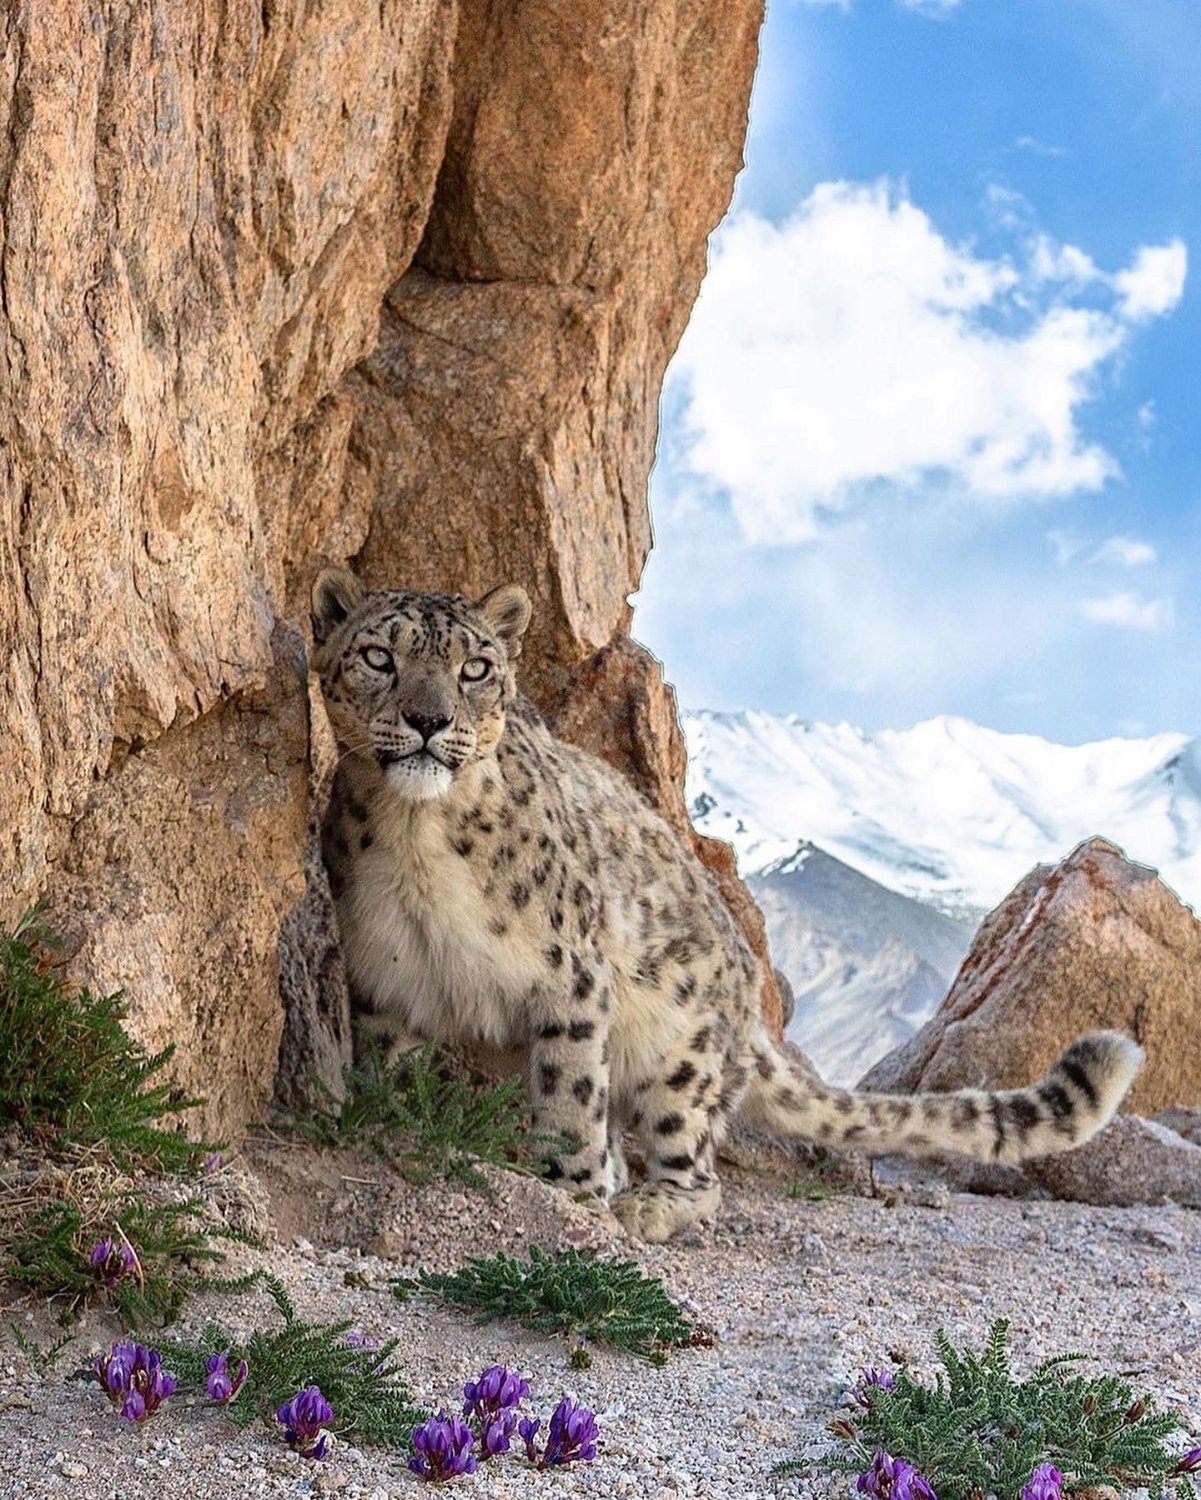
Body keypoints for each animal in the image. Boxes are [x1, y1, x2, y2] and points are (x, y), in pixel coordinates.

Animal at [310, 567, 1143, 1243]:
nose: (428, 720)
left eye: (475, 668)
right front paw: (380, 1120)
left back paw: (649, 1204)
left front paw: (573, 1197)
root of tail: (746, 992)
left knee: (695, 1164)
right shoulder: (384, 977)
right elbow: (386, 1062)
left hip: (678, 1049)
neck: (417, 837)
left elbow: (570, 1099)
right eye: (379, 657)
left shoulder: (572, 980)